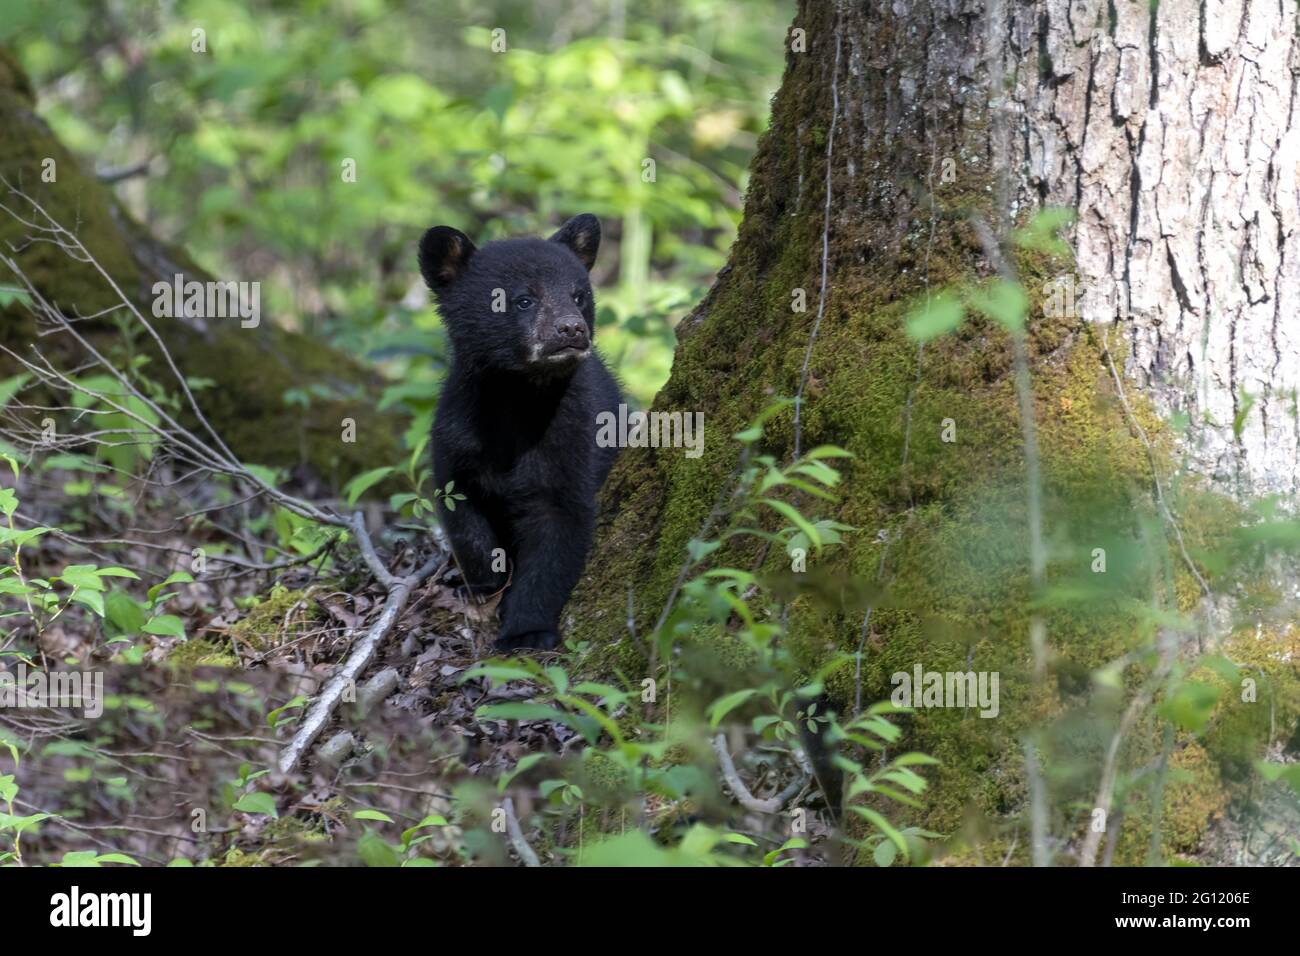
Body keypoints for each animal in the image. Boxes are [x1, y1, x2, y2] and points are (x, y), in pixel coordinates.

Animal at [419, 214, 622, 652]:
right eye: (524, 299)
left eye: (579, 295)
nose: (571, 329)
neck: (516, 397)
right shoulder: (457, 434)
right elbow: (465, 517)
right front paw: (486, 587)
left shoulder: (573, 435)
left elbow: (558, 527)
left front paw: (525, 630)